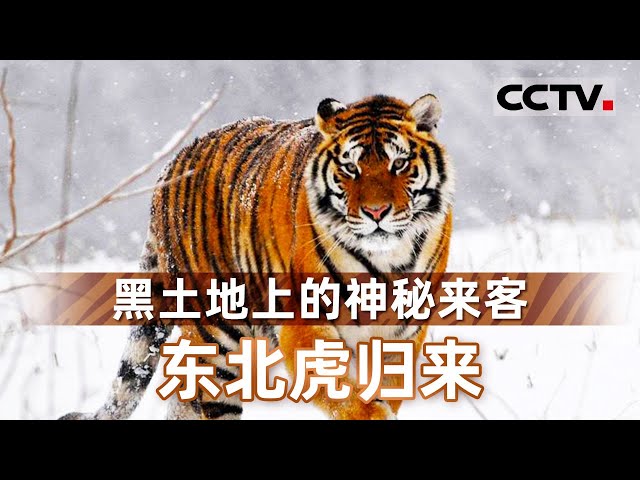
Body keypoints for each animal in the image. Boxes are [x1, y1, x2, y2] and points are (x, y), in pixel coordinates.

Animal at [60, 93, 454, 420]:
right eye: (350, 168)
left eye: (399, 164)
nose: (376, 212)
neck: (386, 262)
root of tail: (171, 166)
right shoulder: (303, 324)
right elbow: (349, 399)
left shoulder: (403, 332)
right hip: (217, 337)